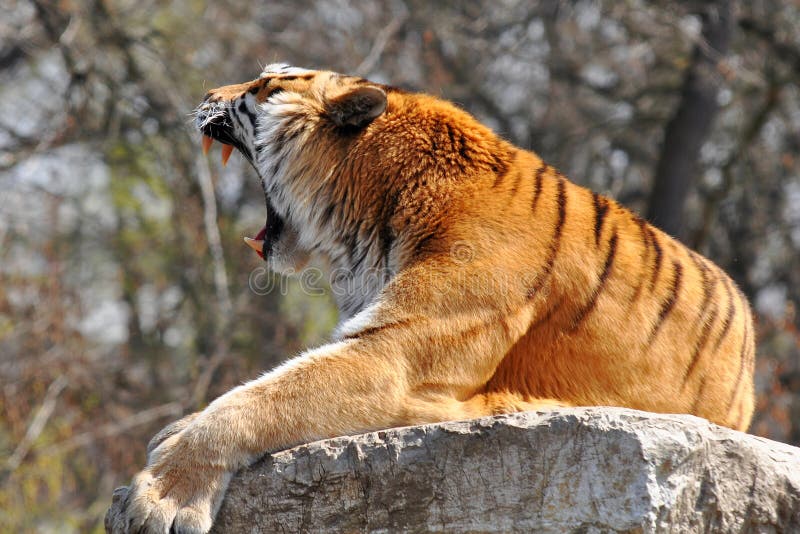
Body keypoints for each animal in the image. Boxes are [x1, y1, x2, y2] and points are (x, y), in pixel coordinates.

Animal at [108, 63, 755, 533]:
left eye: (263, 86)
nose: (206, 94)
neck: (364, 217)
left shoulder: (390, 352)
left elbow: (262, 398)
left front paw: (161, 496)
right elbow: (270, 382)